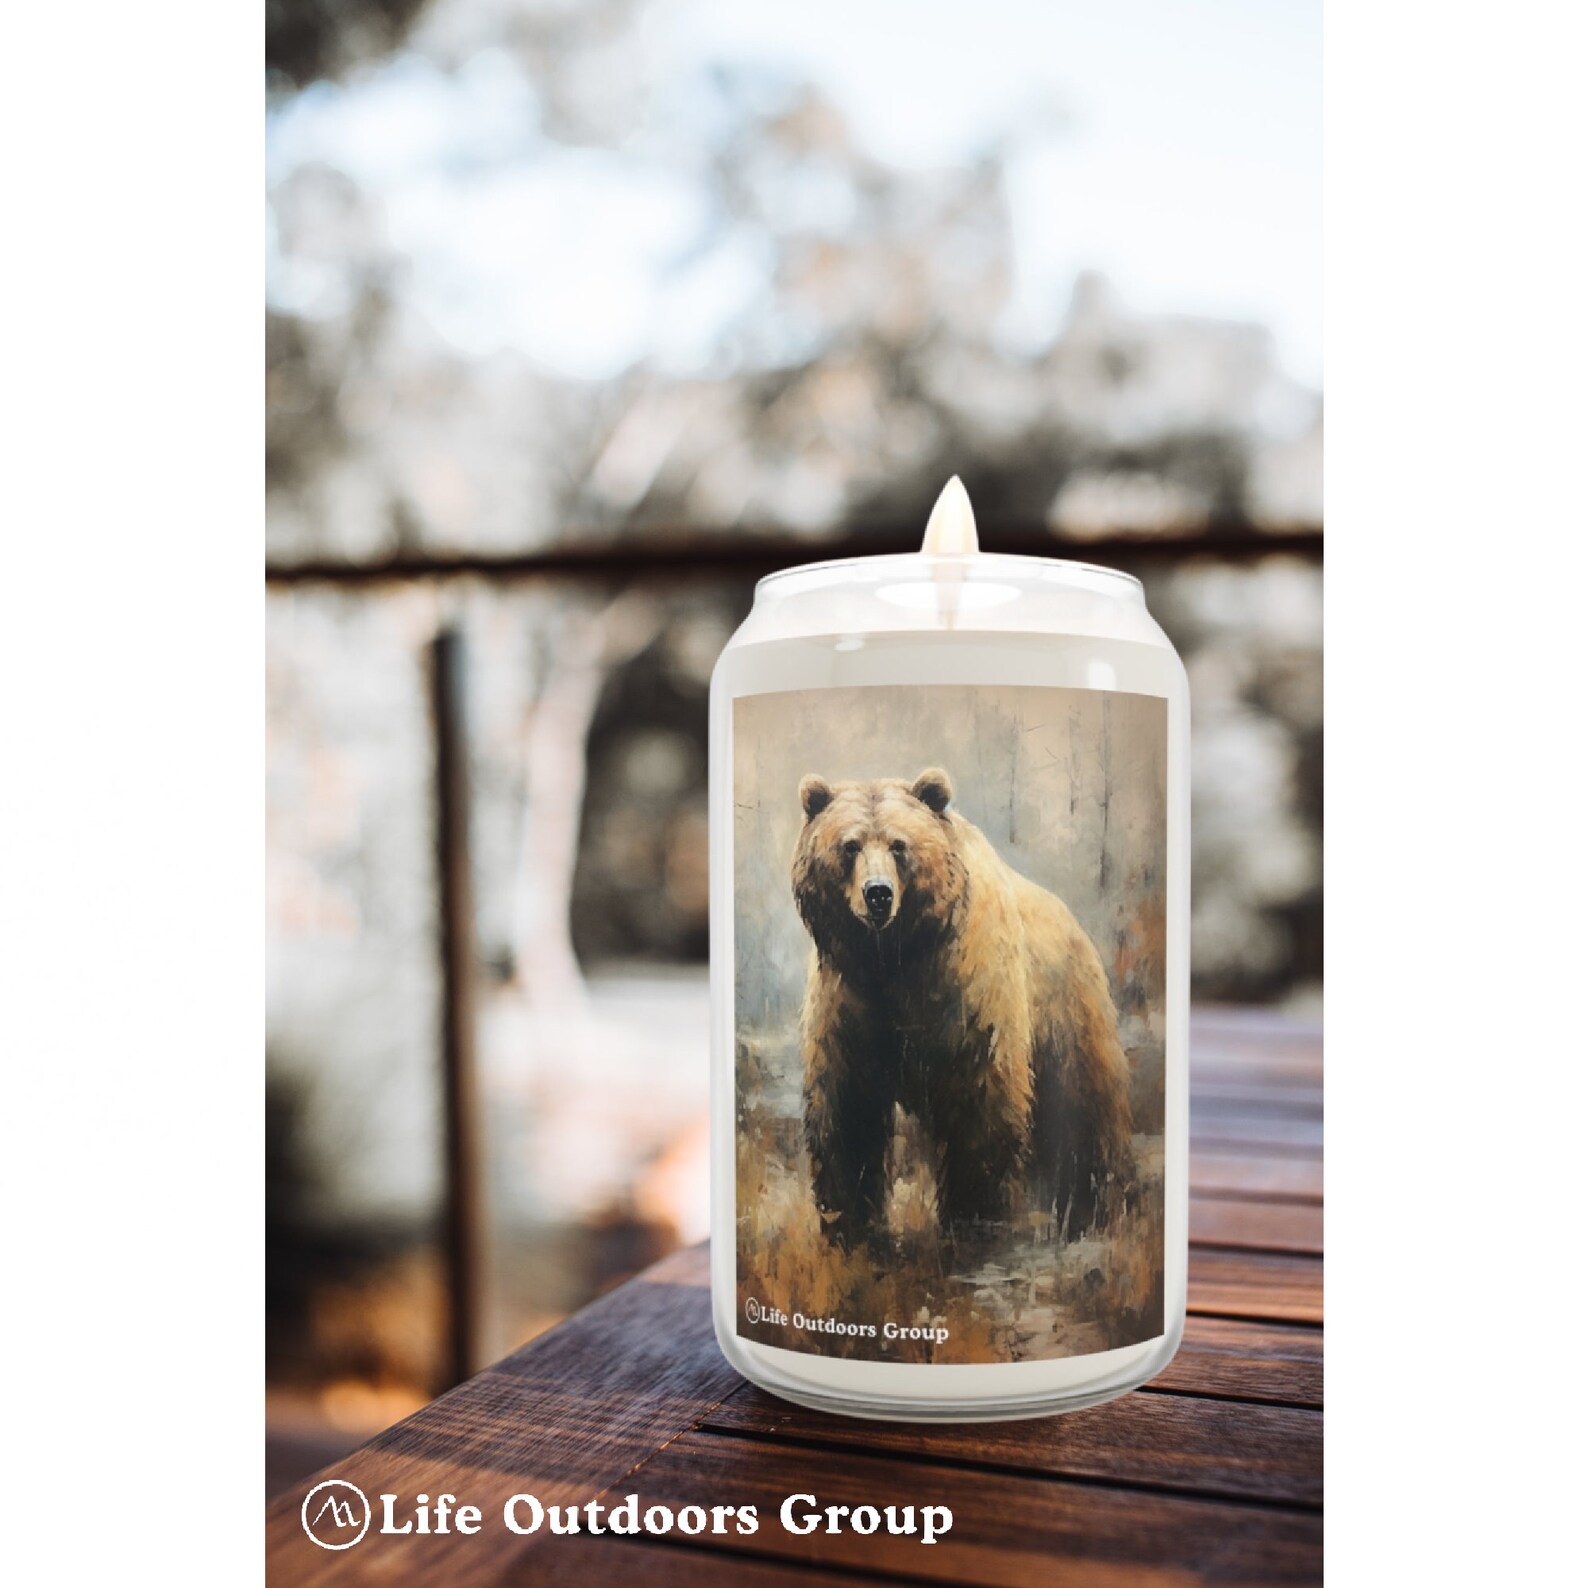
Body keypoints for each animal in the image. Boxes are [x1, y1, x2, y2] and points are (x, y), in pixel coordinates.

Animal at [792, 766, 1135, 1252]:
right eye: (850, 845)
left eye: (899, 845)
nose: (877, 894)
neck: (894, 956)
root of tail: (1076, 925)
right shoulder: (850, 997)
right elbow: (848, 1103)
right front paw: (849, 1227)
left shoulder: (966, 987)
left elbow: (981, 1100)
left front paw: (975, 1218)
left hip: (1068, 1010)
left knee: (1086, 1109)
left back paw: (1092, 1215)